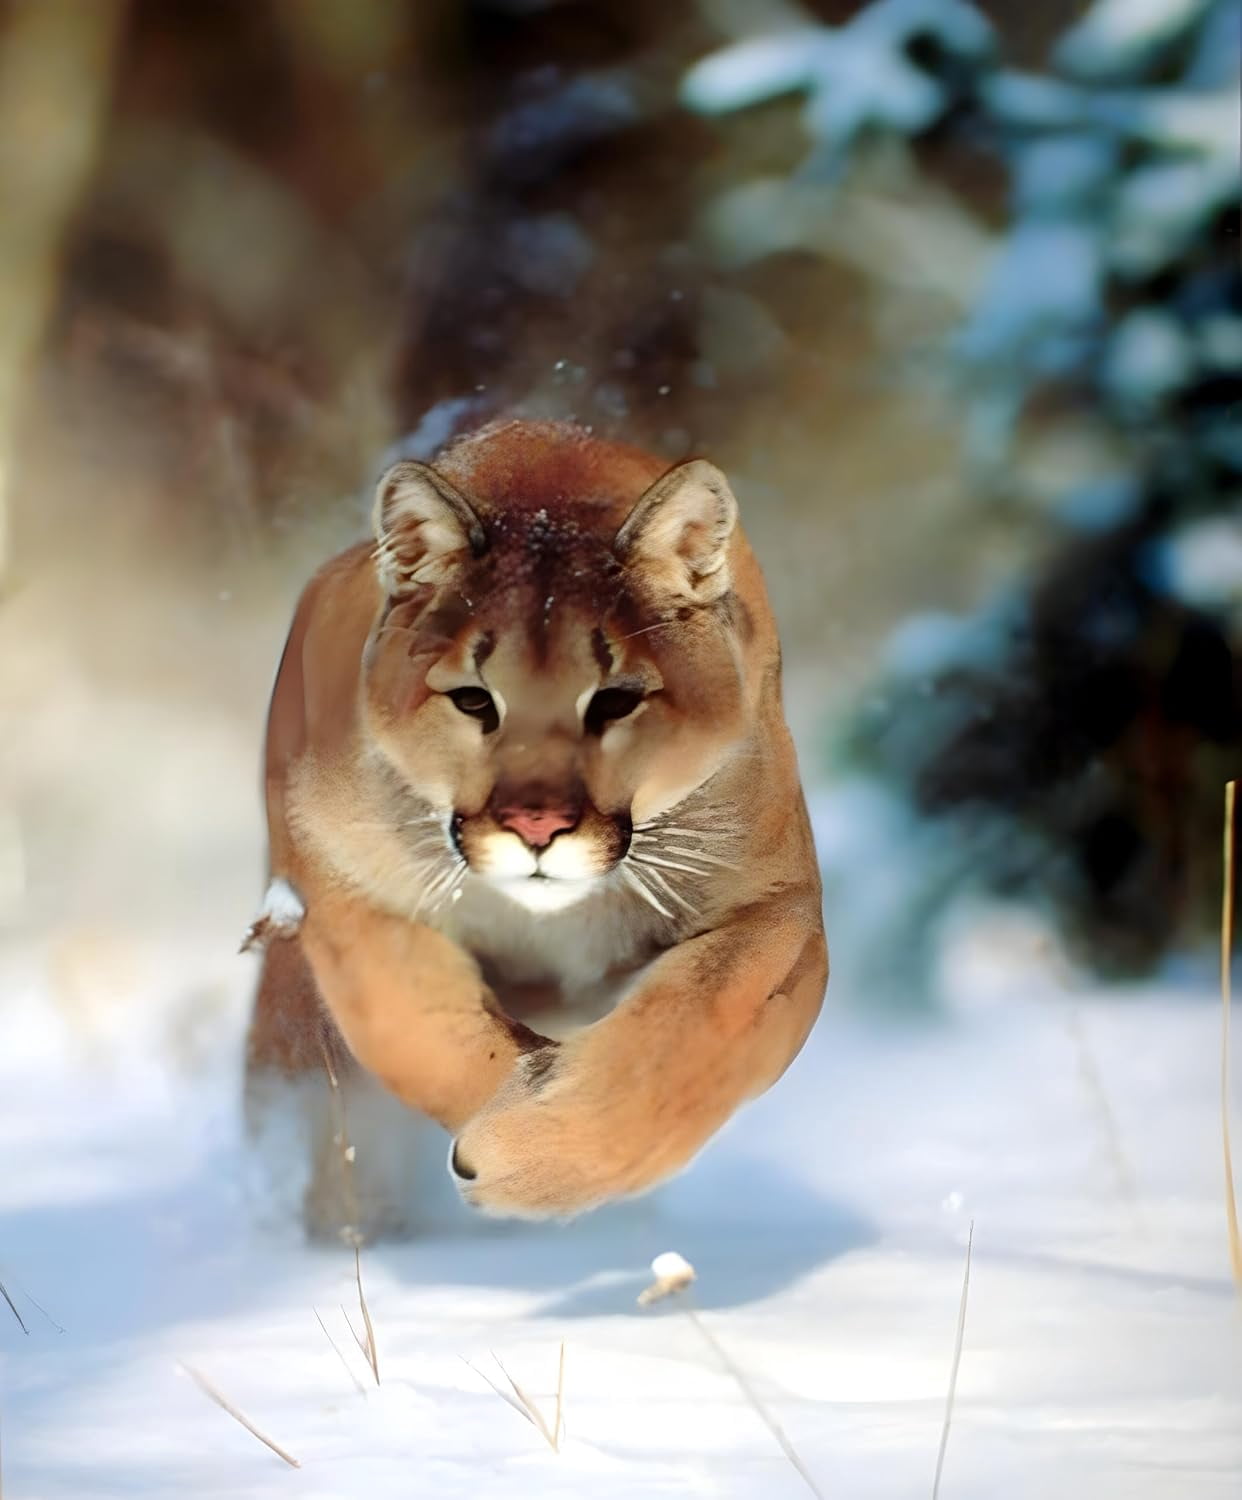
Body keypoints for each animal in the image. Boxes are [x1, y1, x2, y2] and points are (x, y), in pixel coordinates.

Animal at [243, 419, 827, 1237]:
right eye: (473, 700)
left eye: (615, 700)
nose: (538, 825)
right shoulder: (342, 877)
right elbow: (422, 1026)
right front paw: (507, 1120)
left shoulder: (778, 903)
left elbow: (693, 1034)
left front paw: (542, 1149)